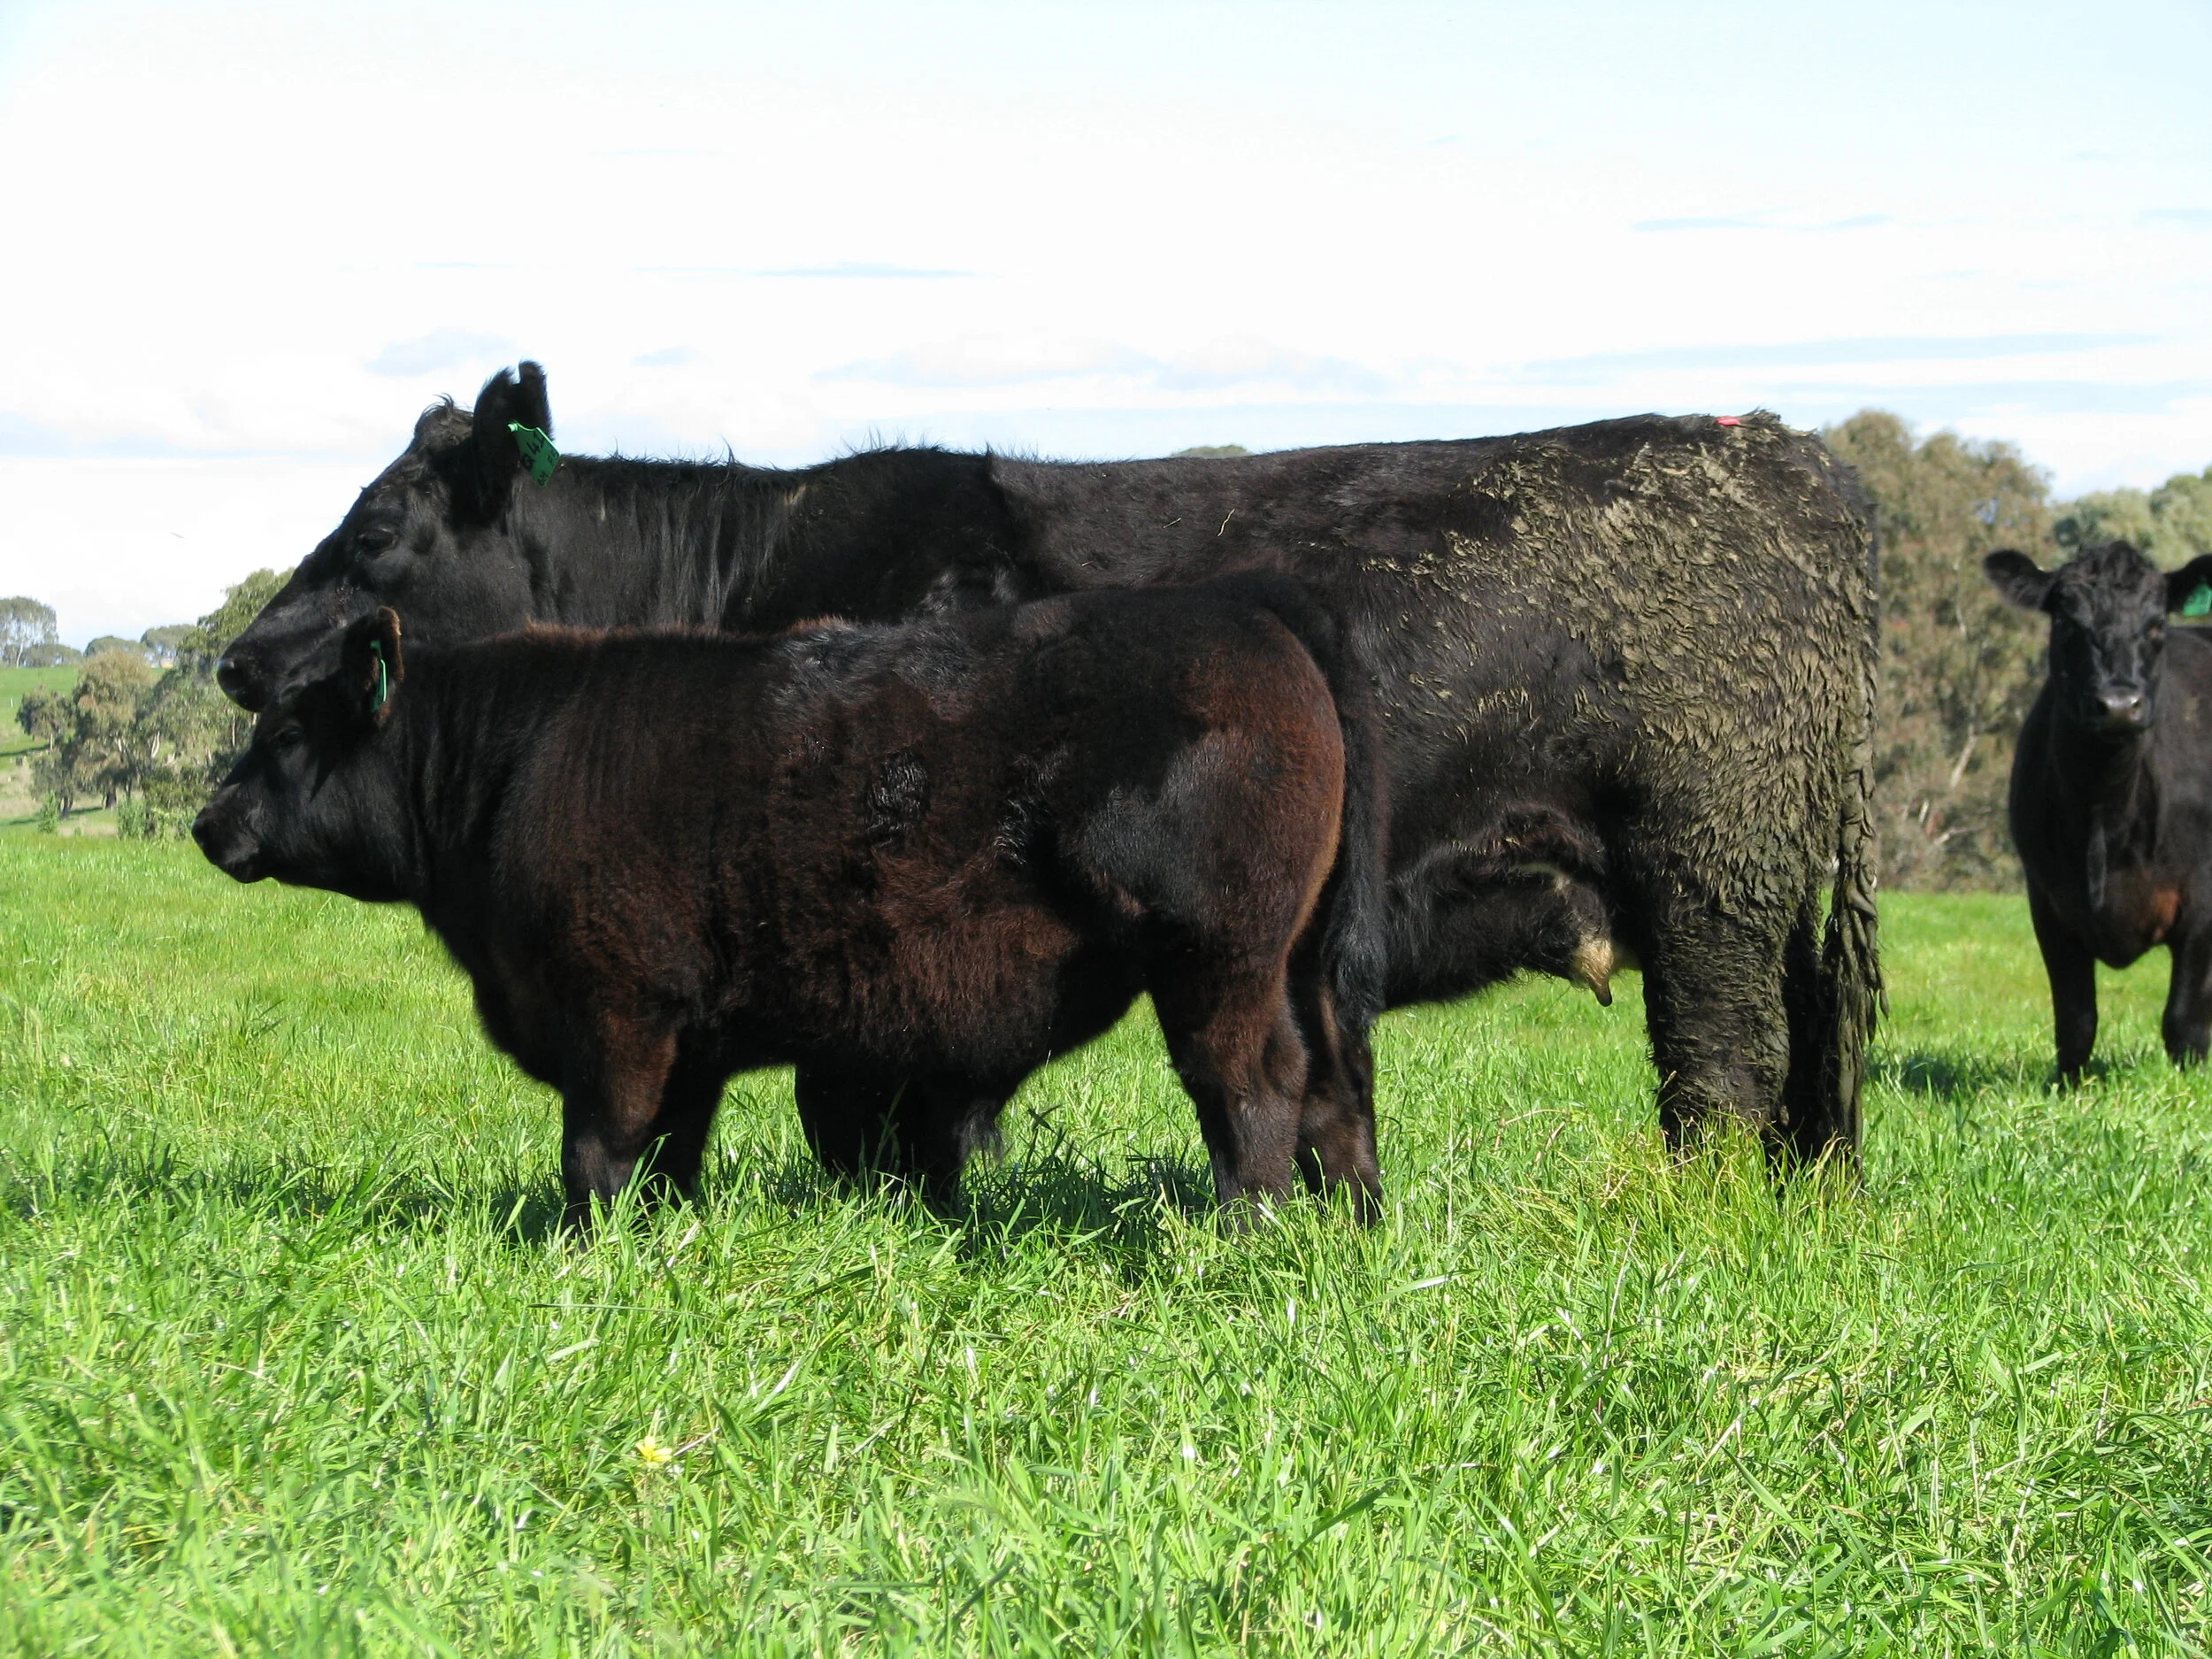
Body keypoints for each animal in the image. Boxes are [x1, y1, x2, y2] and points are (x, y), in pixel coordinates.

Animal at [192, 578, 1386, 1229]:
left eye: (289, 732)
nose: (209, 824)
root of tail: (1257, 616)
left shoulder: (616, 1006)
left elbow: (598, 1151)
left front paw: (582, 1253)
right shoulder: (688, 1037)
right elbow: (669, 1154)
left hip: (1218, 958)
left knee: (1252, 1088)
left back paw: (1241, 1234)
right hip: (1296, 964)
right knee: (1335, 1092)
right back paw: (1349, 1234)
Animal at [216, 363, 1881, 1167]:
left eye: (379, 525)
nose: (238, 659)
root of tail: (1788, 455)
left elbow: (875, 1111)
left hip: (1708, 877)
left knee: (1722, 1076)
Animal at [1985, 540, 2212, 1081]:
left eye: (2157, 625)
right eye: (2067, 624)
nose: (2119, 704)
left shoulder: (2204, 900)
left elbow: (2185, 1022)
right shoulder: (2048, 899)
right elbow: (2076, 1018)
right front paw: (2069, 1085)